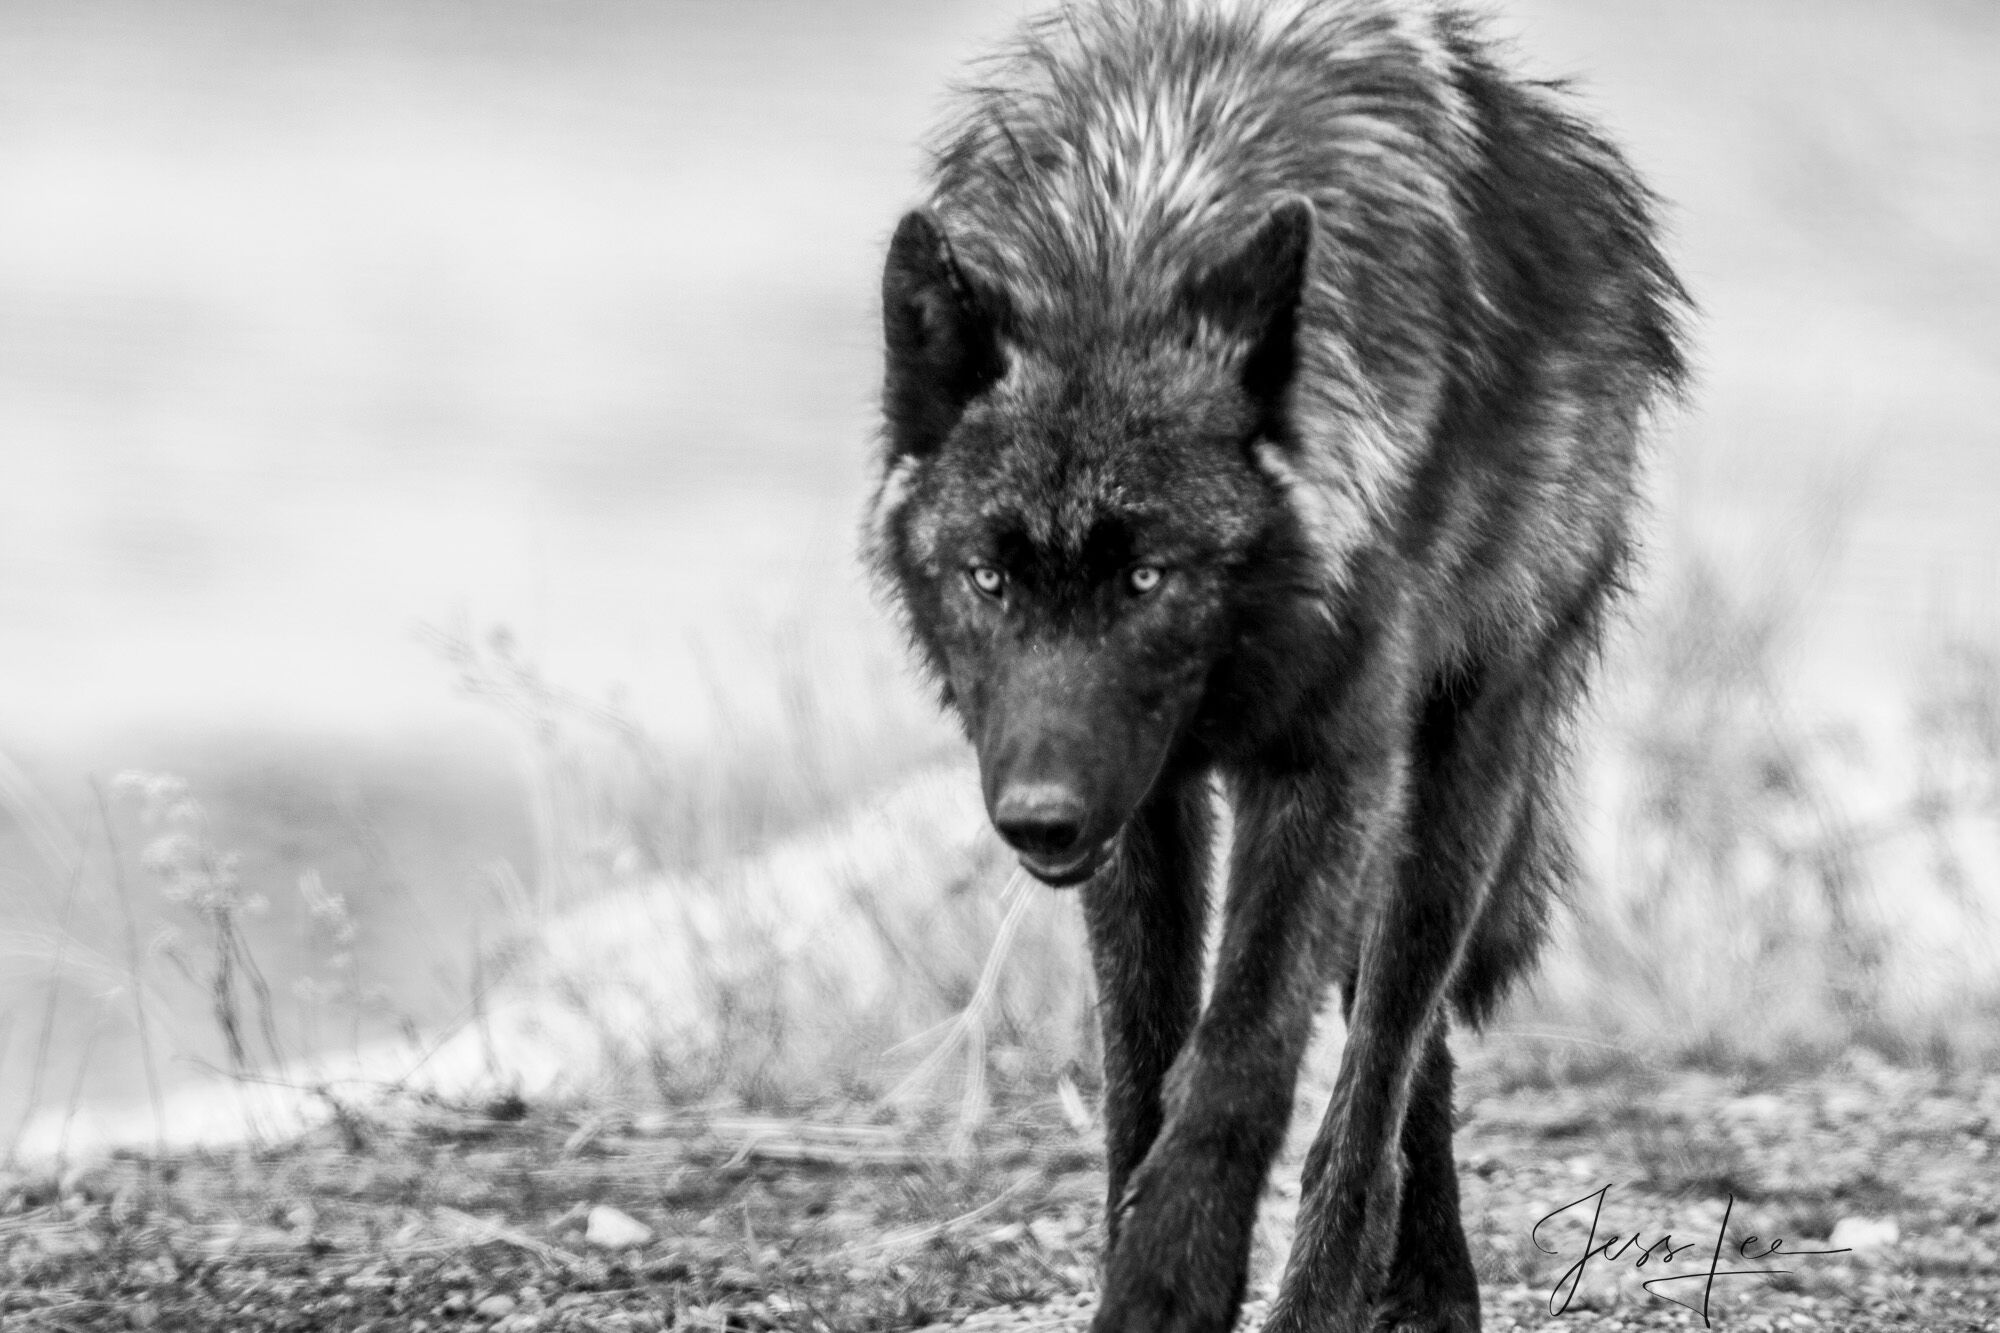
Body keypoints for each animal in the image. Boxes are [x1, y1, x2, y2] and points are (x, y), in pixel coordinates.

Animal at [867, 1, 1688, 1330]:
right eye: (988, 578)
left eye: (1147, 578)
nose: (1037, 819)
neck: (1130, 243)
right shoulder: (1142, 803)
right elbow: (1141, 1065)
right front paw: (1137, 1259)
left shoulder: (1321, 766)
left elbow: (1241, 1064)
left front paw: (1171, 1283)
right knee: (1399, 1057)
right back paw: (1422, 1282)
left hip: (1454, 775)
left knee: (1384, 1053)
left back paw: (1351, 1285)